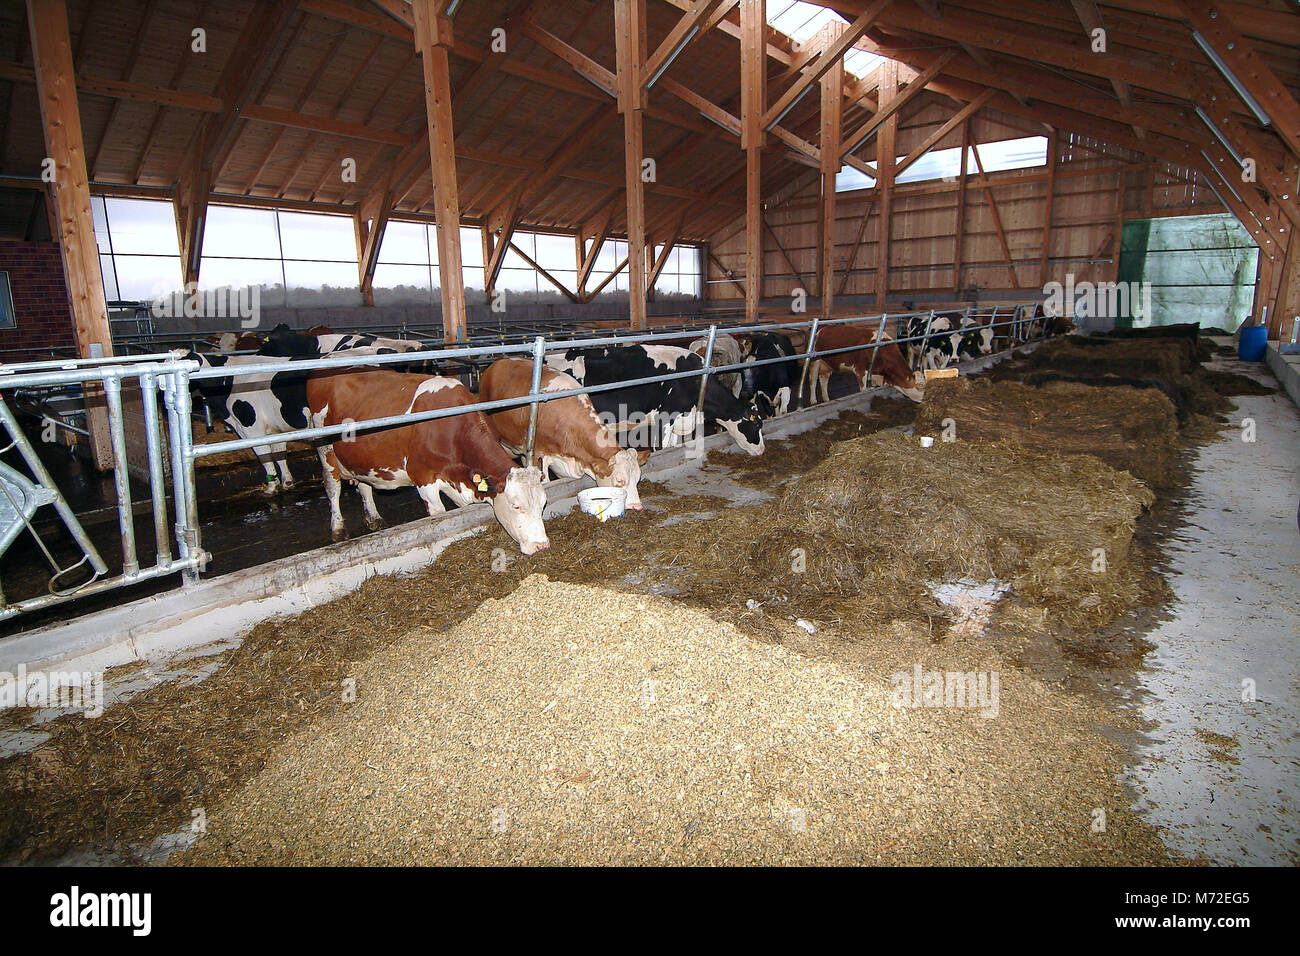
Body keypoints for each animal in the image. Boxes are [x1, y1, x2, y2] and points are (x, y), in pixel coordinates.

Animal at [184, 352, 310, 494]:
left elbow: (265, 458)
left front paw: (271, 488)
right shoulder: (276, 429)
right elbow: (280, 456)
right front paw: (287, 483)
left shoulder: (252, 430)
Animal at [306, 368, 549, 553]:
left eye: (543, 503)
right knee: (333, 486)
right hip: (324, 448)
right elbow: (439, 516)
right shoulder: (423, 477)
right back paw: (338, 529)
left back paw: (374, 518)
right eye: (516, 506)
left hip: (361, 457)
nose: (541, 545)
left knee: (364, 486)